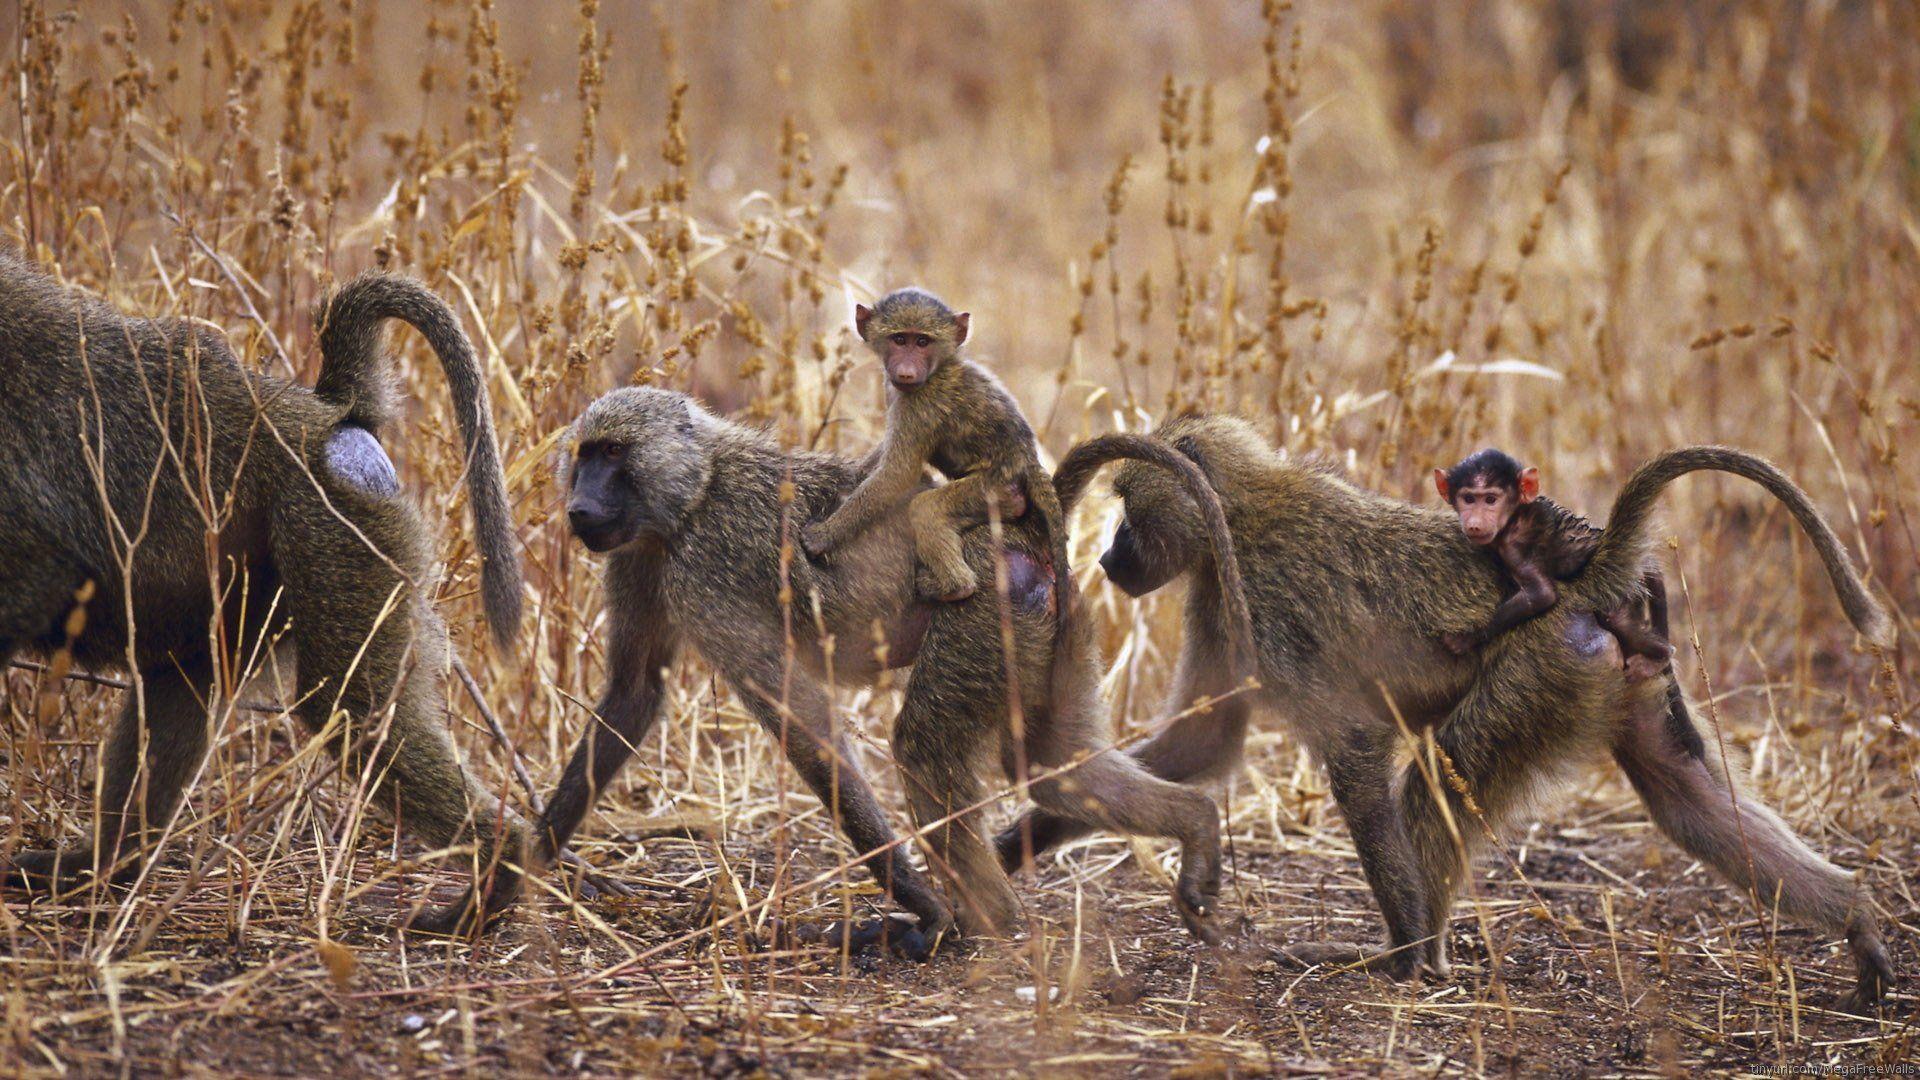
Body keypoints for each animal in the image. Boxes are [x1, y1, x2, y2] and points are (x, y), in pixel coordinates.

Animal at [0, 250, 527, 935]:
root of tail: (324, 417)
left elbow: (38, 578)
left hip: (330, 529)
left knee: (351, 710)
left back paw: (488, 886)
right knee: (184, 682)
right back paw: (97, 869)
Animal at [426, 387, 1255, 951]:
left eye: (612, 457)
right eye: (586, 455)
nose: (578, 508)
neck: (695, 491)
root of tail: (1024, 531)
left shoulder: (700, 571)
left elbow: (807, 726)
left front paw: (921, 902)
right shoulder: (639, 556)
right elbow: (632, 696)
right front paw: (484, 901)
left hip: (987, 613)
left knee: (926, 747)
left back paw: (974, 925)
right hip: (1051, 630)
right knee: (1056, 769)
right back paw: (1195, 831)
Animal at [799, 288, 1070, 625]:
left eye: (922, 341)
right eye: (899, 339)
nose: (906, 371)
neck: (937, 369)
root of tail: (1029, 460)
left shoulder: (920, 406)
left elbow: (897, 475)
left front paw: (823, 536)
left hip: (991, 485)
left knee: (926, 508)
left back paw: (955, 585)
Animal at [997, 420, 1895, 1011]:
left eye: (1127, 513)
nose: (1108, 557)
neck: (1250, 506)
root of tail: (1592, 578)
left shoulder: (1260, 594)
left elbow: (1355, 754)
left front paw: (1402, 963)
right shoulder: (1222, 601)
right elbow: (1197, 745)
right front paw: (1012, 845)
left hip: (1539, 671)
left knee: (1432, 789)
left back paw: (1411, 960)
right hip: (1627, 678)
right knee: (1688, 800)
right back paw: (1856, 922)